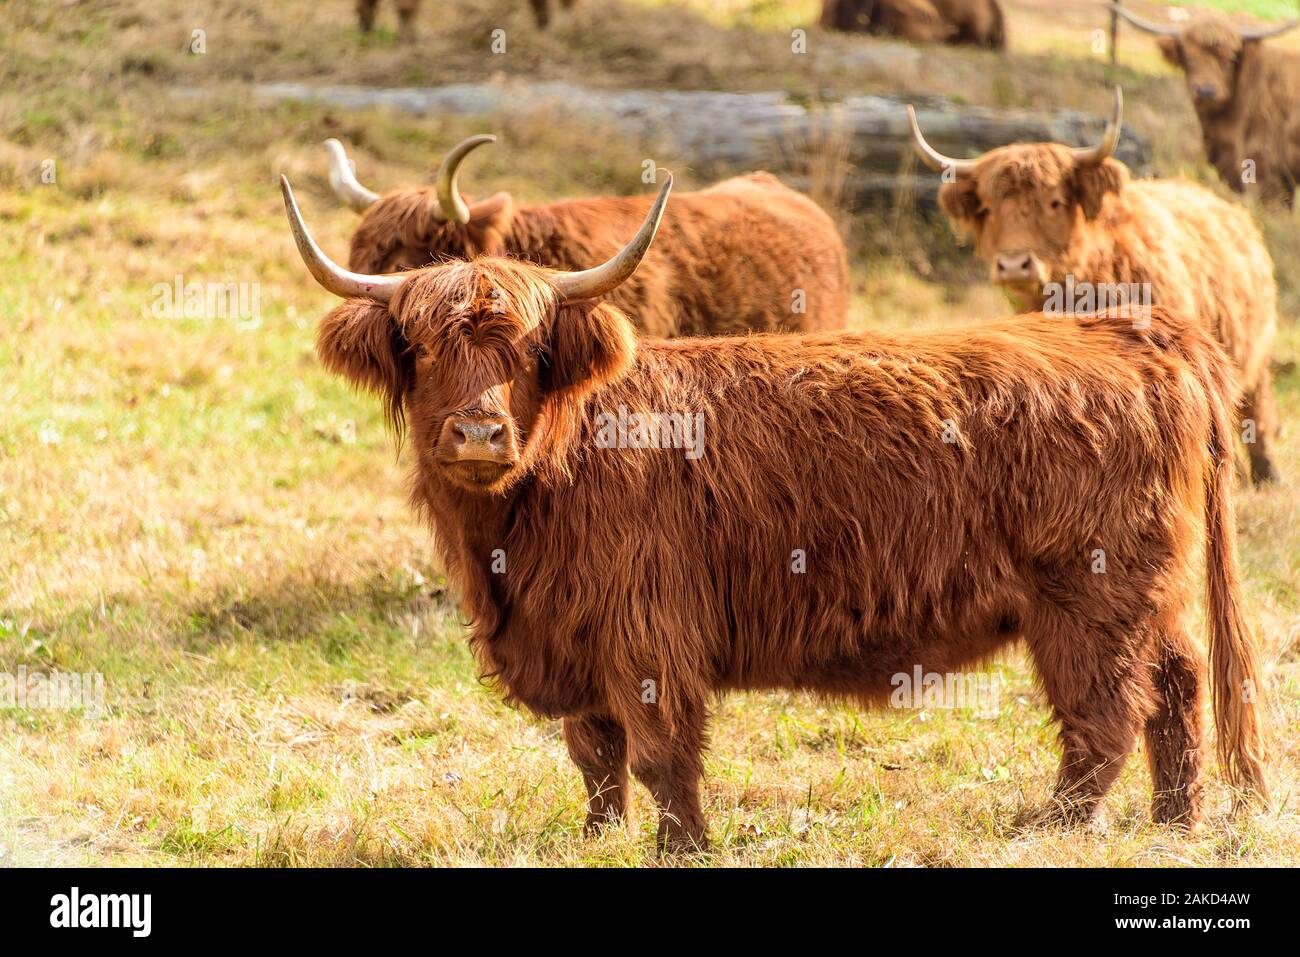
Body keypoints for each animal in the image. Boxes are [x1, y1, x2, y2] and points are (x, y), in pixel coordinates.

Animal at [279, 171, 1263, 852]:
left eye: (528, 349)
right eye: (419, 345)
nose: (480, 433)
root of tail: (1137, 330)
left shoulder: (647, 629)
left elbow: (658, 750)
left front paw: (681, 845)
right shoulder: (575, 634)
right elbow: (594, 754)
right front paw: (598, 839)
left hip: (1089, 597)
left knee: (1108, 712)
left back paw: (1050, 825)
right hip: (1145, 593)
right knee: (1178, 686)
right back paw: (1174, 823)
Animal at [909, 87, 1284, 486]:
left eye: (1055, 202)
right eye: (989, 209)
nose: (1013, 264)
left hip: (1253, 347)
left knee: (1255, 403)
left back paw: (1267, 472)